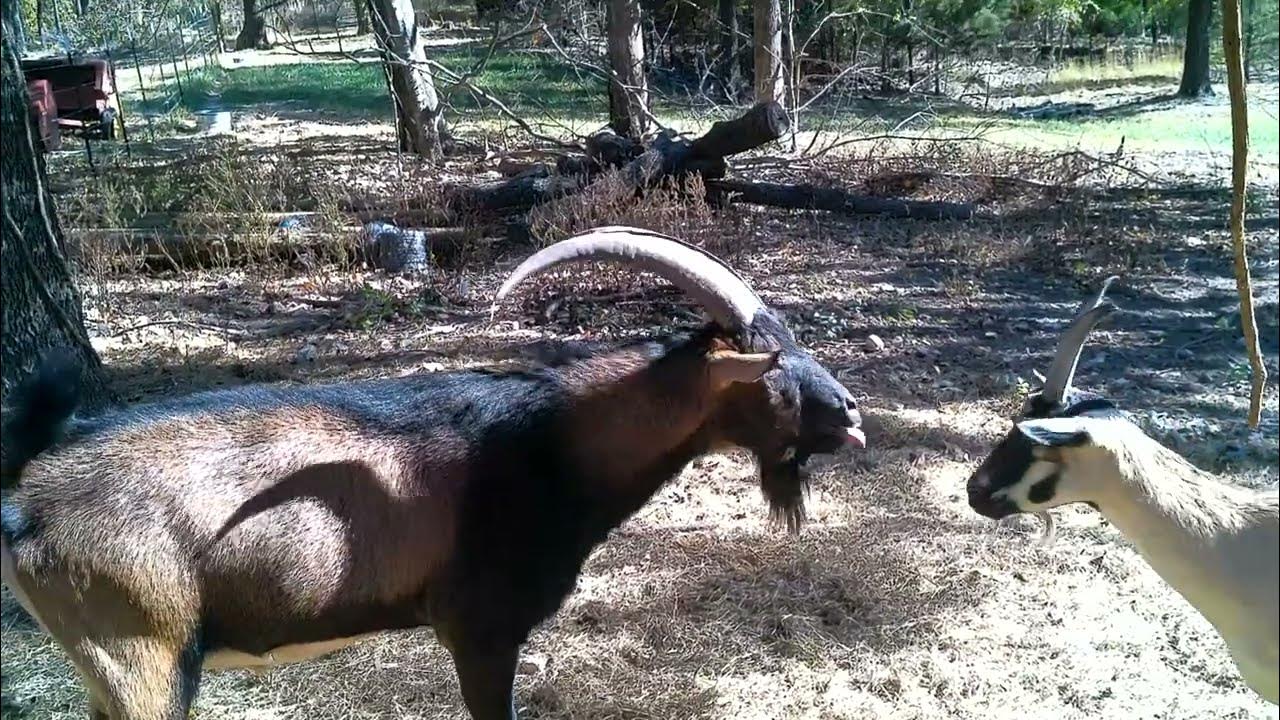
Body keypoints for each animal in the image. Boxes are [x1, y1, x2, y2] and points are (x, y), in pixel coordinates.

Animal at [0, 226, 866, 720]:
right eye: (774, 373)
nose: (852, 414)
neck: (549, 446)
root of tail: (26, 501)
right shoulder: (479, 630)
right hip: (142, 660)